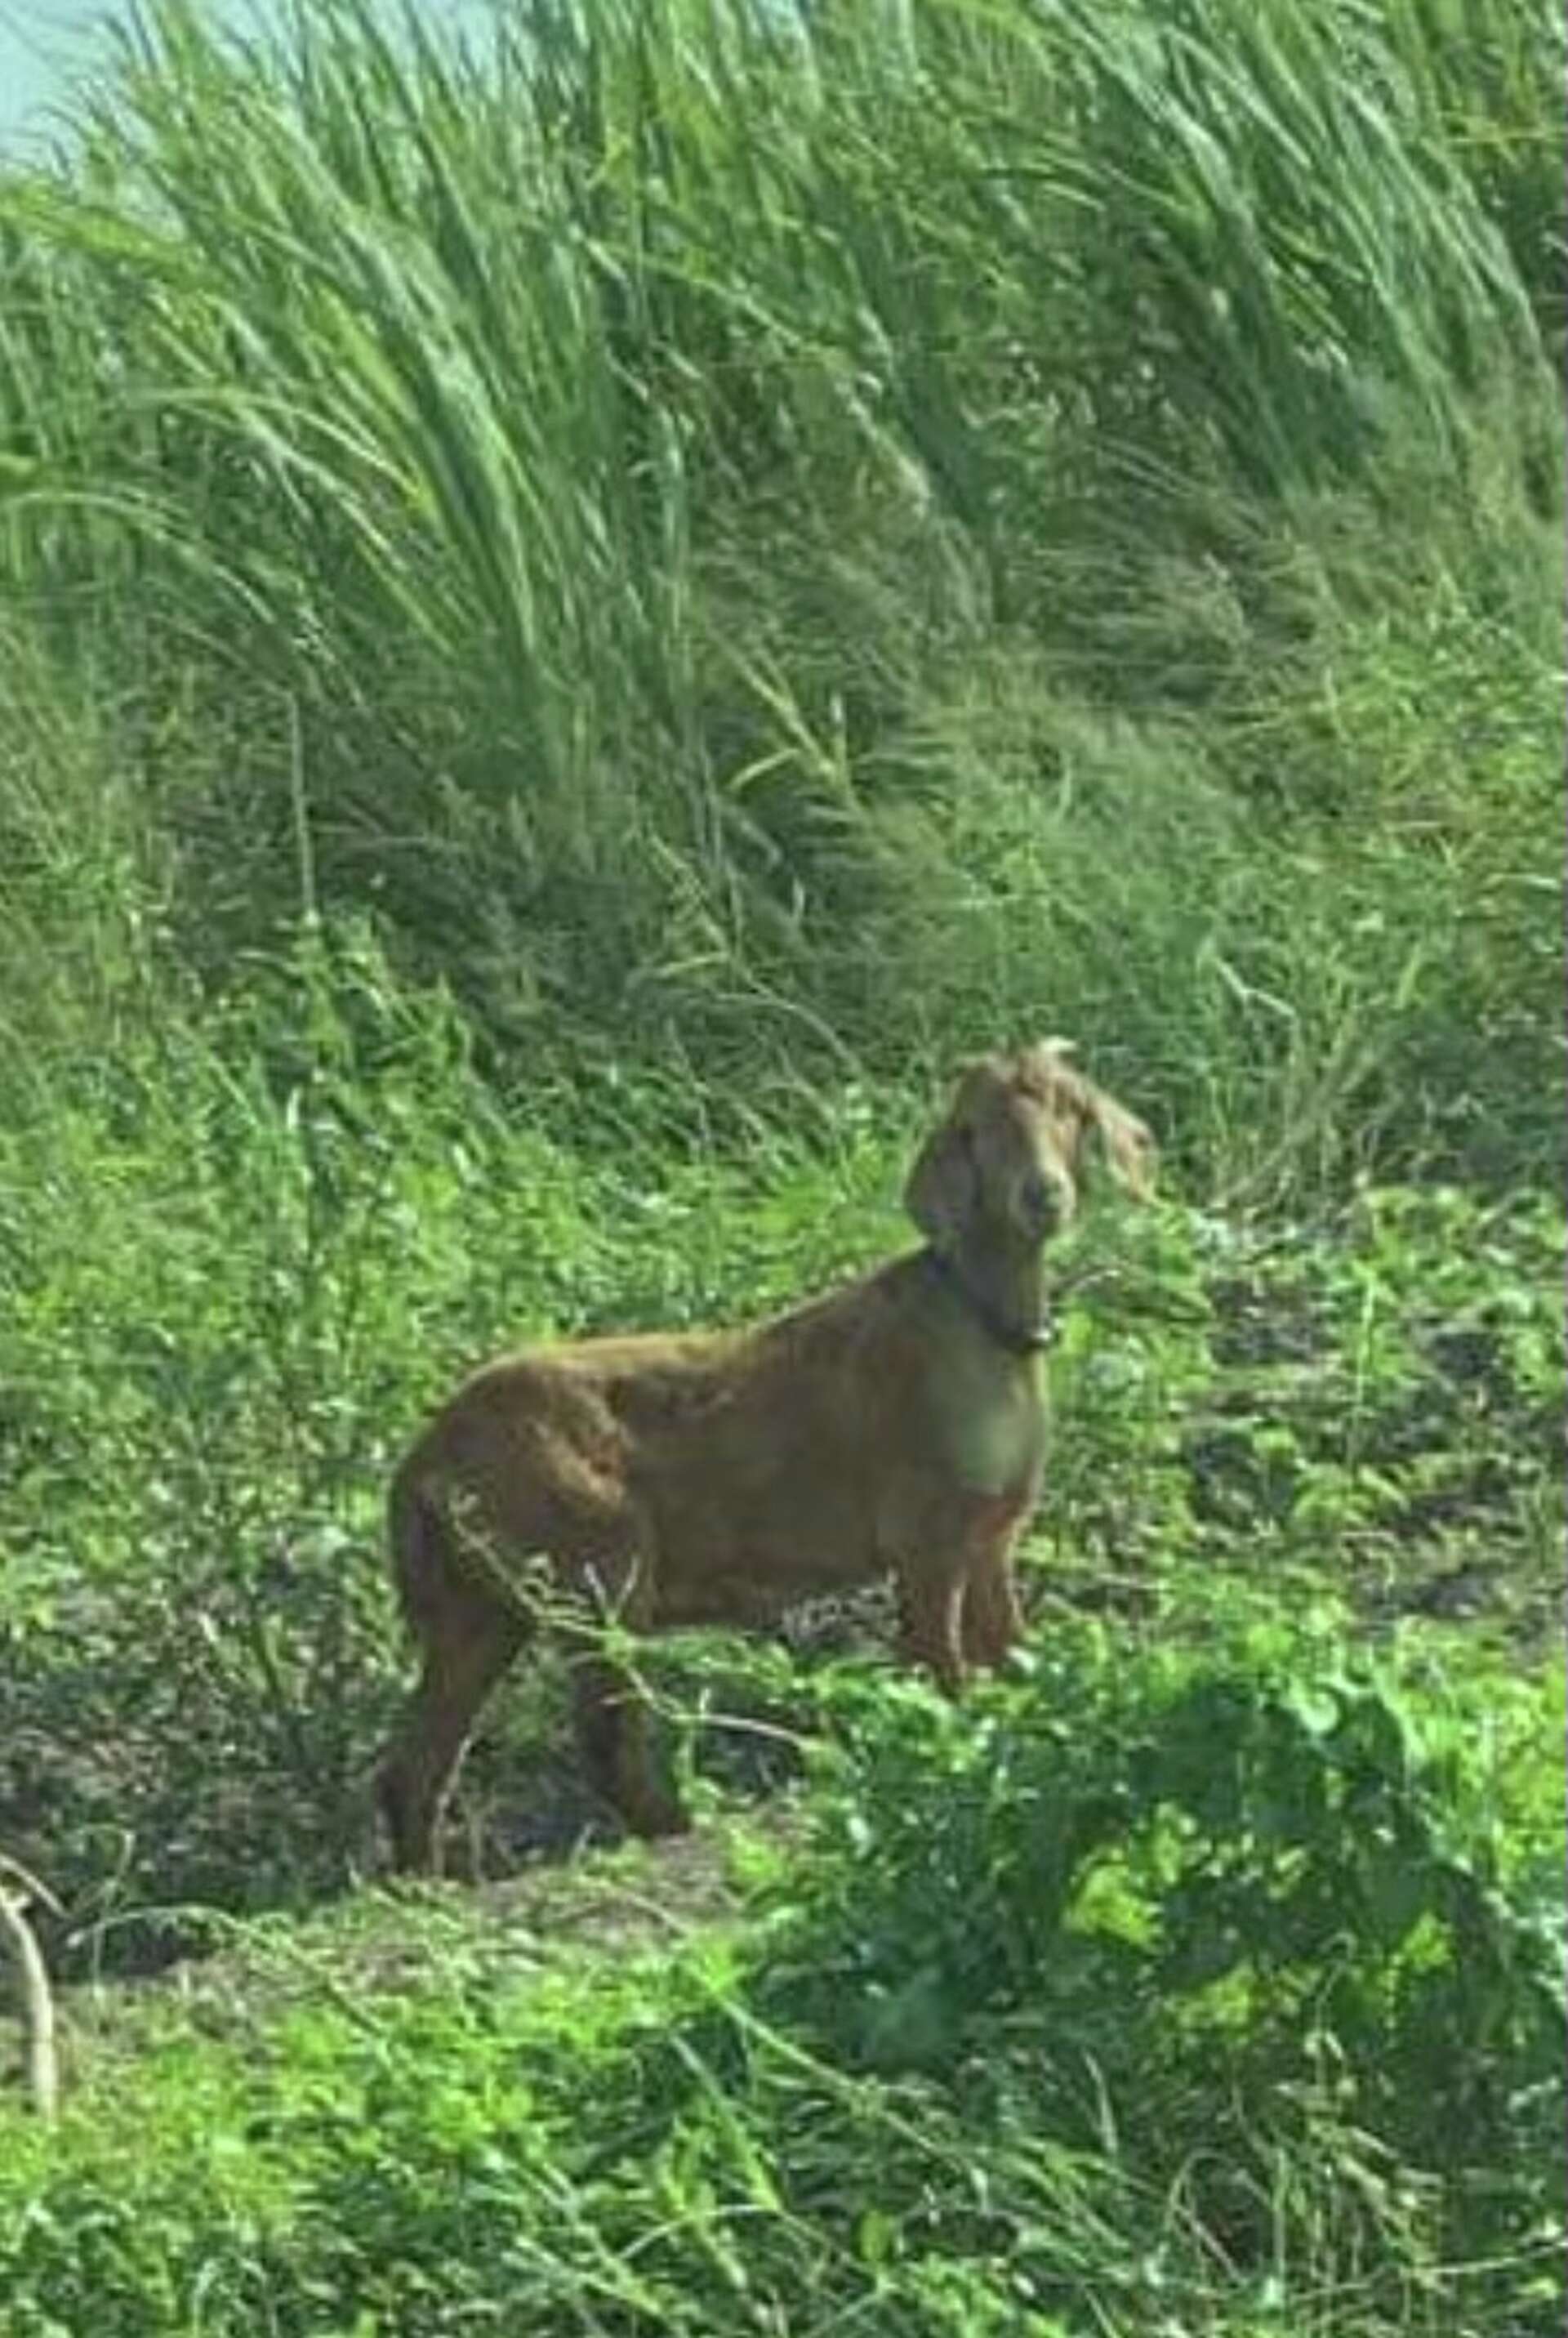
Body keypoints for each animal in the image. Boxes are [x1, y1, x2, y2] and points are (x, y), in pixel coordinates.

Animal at [376, 1042, 1155, 1872]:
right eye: (974, 1131)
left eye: (1071, 1108)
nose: (1043, 1195)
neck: (976, 1328)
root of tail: (426, 1460)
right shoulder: (926, 1536)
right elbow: (938, 1667)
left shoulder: (990, 1535)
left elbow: (1012, 1655)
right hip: (594, 1563)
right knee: (603, 1736)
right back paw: (678, 1827)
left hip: (478, 1602)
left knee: (419, 1758)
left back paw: (425, 1879)